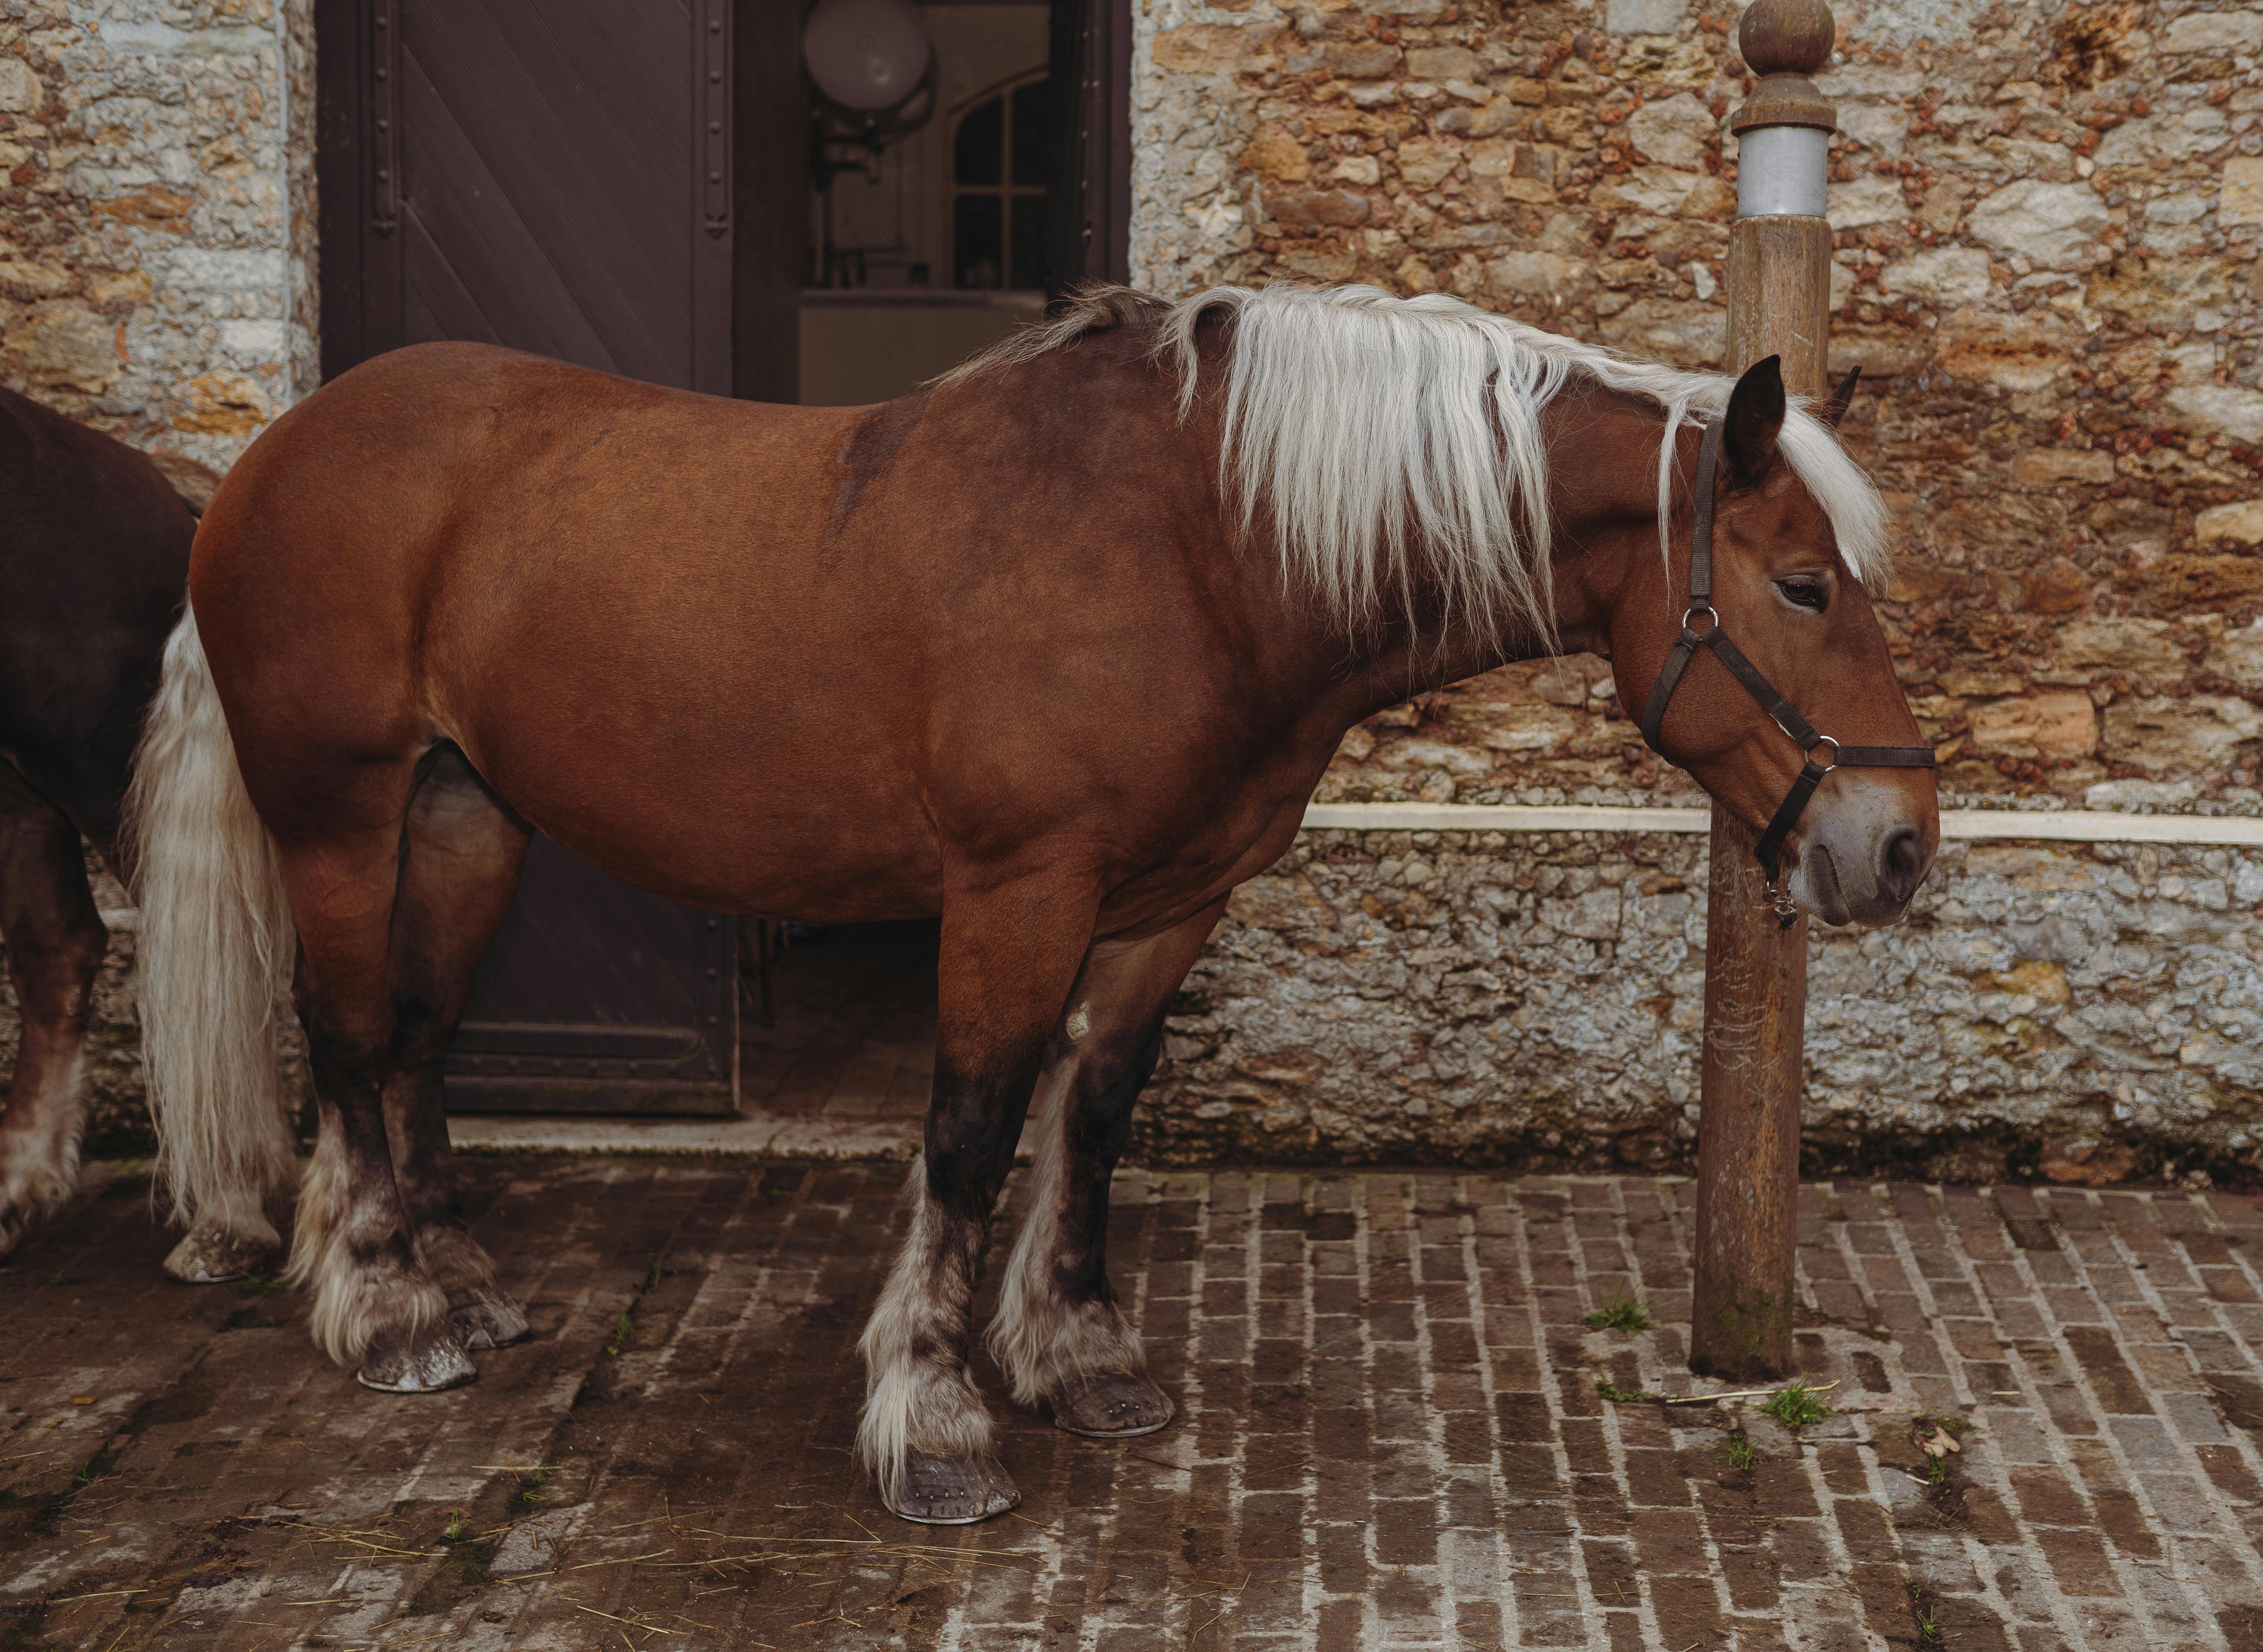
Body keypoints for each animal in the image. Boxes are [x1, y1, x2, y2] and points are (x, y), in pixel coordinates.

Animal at [127, 283, 1938, 1525]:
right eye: (1799, 583)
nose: (1901, 844)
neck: (1203, 543)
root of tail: (274, 455)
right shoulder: (1016, 892)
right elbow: (974, 1130)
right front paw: (934, 1420)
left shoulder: (1166, 904)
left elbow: (1096, 1114)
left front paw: (1079, 1357)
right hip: (340, 811)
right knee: (345, 1030)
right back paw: (385, 1308)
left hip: (466, 818)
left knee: (415, 1035)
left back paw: (455, 1281)